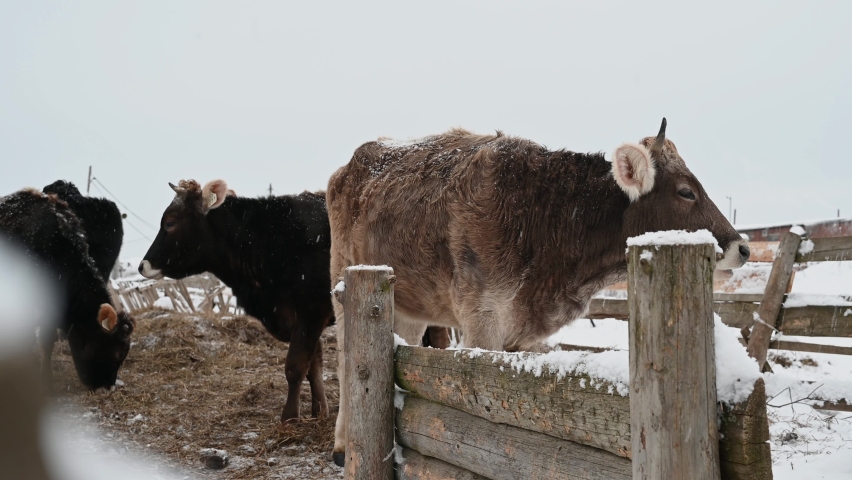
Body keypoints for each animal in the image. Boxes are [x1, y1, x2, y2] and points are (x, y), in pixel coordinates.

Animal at [138, 179, 335, 424]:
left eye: (170, 223)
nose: (142, 266)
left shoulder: (312, 310)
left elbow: (295, 366)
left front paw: (289, 418)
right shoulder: (298, 317)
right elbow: (314, 364)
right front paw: (320, 412)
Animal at [326, 119, 750, 465]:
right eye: (686, 192)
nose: (742, 247)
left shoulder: (520, 331)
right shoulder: (481, 317)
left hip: (409, 304)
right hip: (343, 280)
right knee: (349, 358)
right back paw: (345, 446)